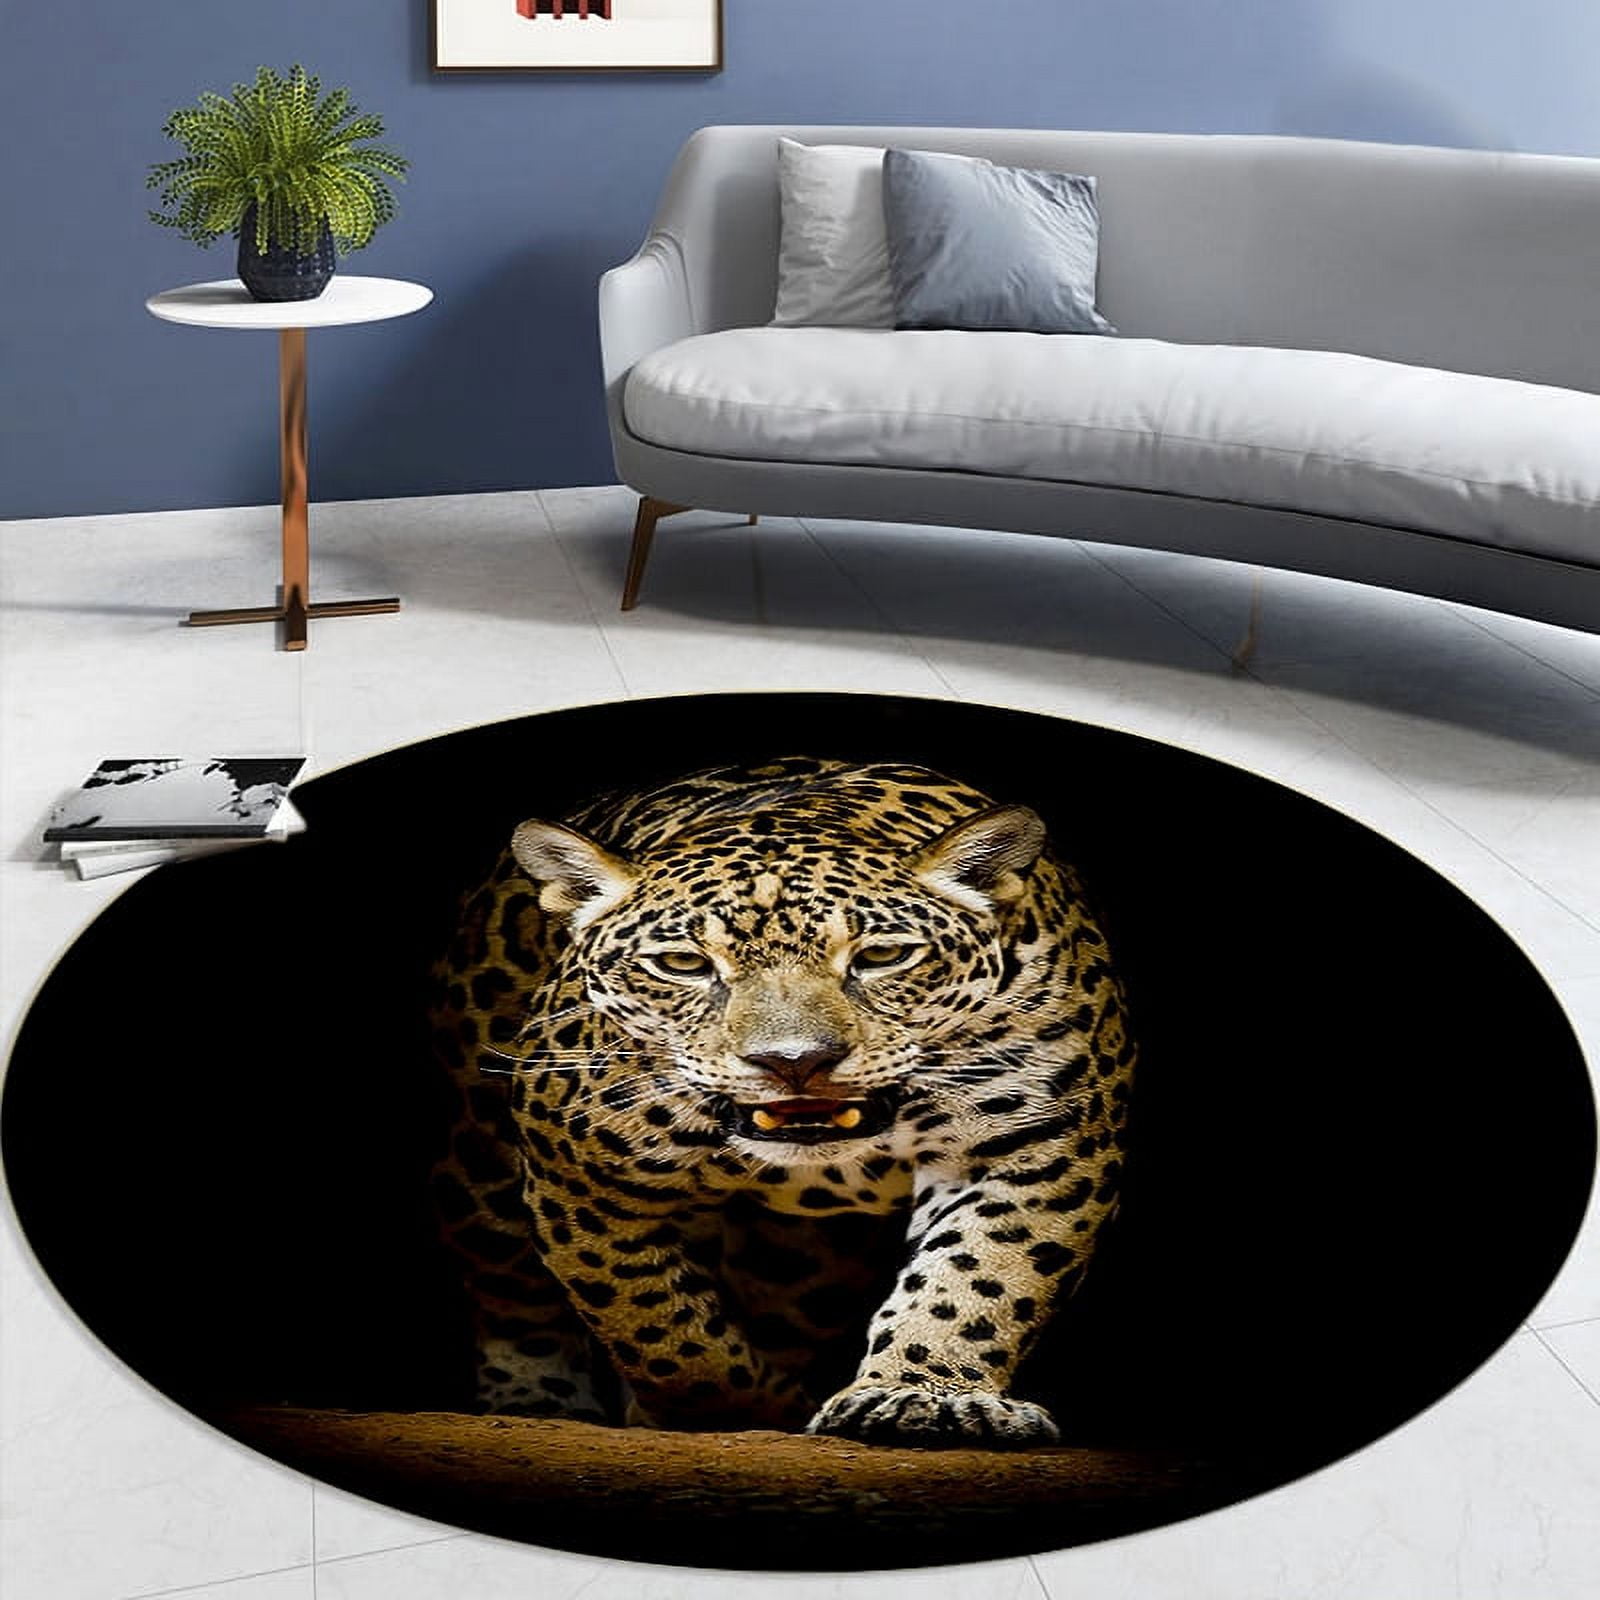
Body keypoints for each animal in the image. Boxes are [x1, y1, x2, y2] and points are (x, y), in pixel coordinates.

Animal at [428, 754, 1136, 1447]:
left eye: (882, 956)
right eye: (683, 964)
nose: (794, 1061)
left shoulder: (1038, 1150)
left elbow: (978, 1278)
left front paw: (924, 1395)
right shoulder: (578, 1173)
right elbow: (657, 1325)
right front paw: (738, 1409)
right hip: (480, 1160)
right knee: (509, 1290)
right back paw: (534, 1401)